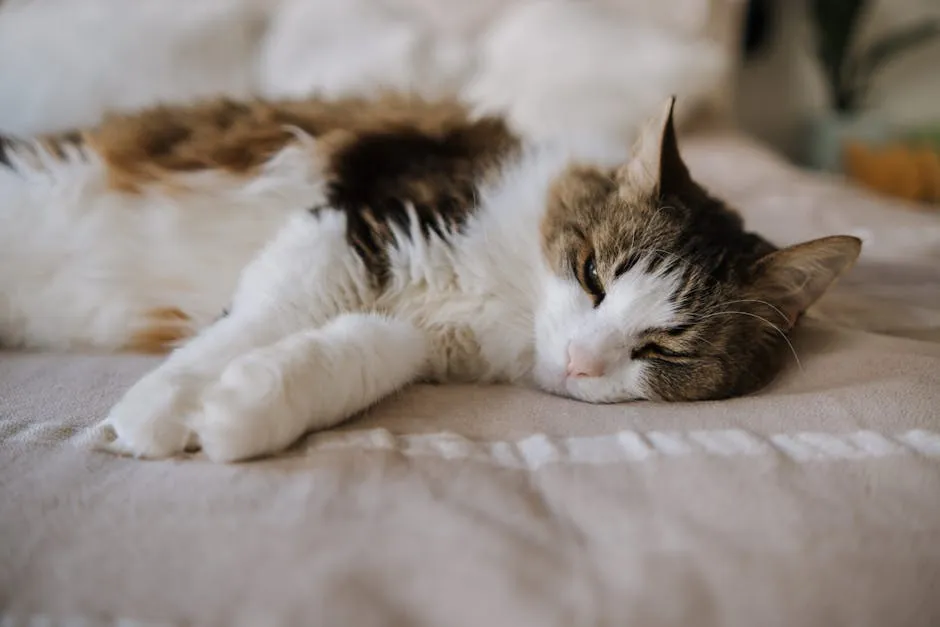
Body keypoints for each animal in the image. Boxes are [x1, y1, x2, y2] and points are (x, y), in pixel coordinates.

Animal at [0, 93, 860, 462]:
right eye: (591, 275)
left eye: (666, 350)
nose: (579, 361)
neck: (501, 293)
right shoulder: (357, 216)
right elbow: (254, 321)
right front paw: (158, 409)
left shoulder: (411, 333)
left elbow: (339, 360)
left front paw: (241, 413)